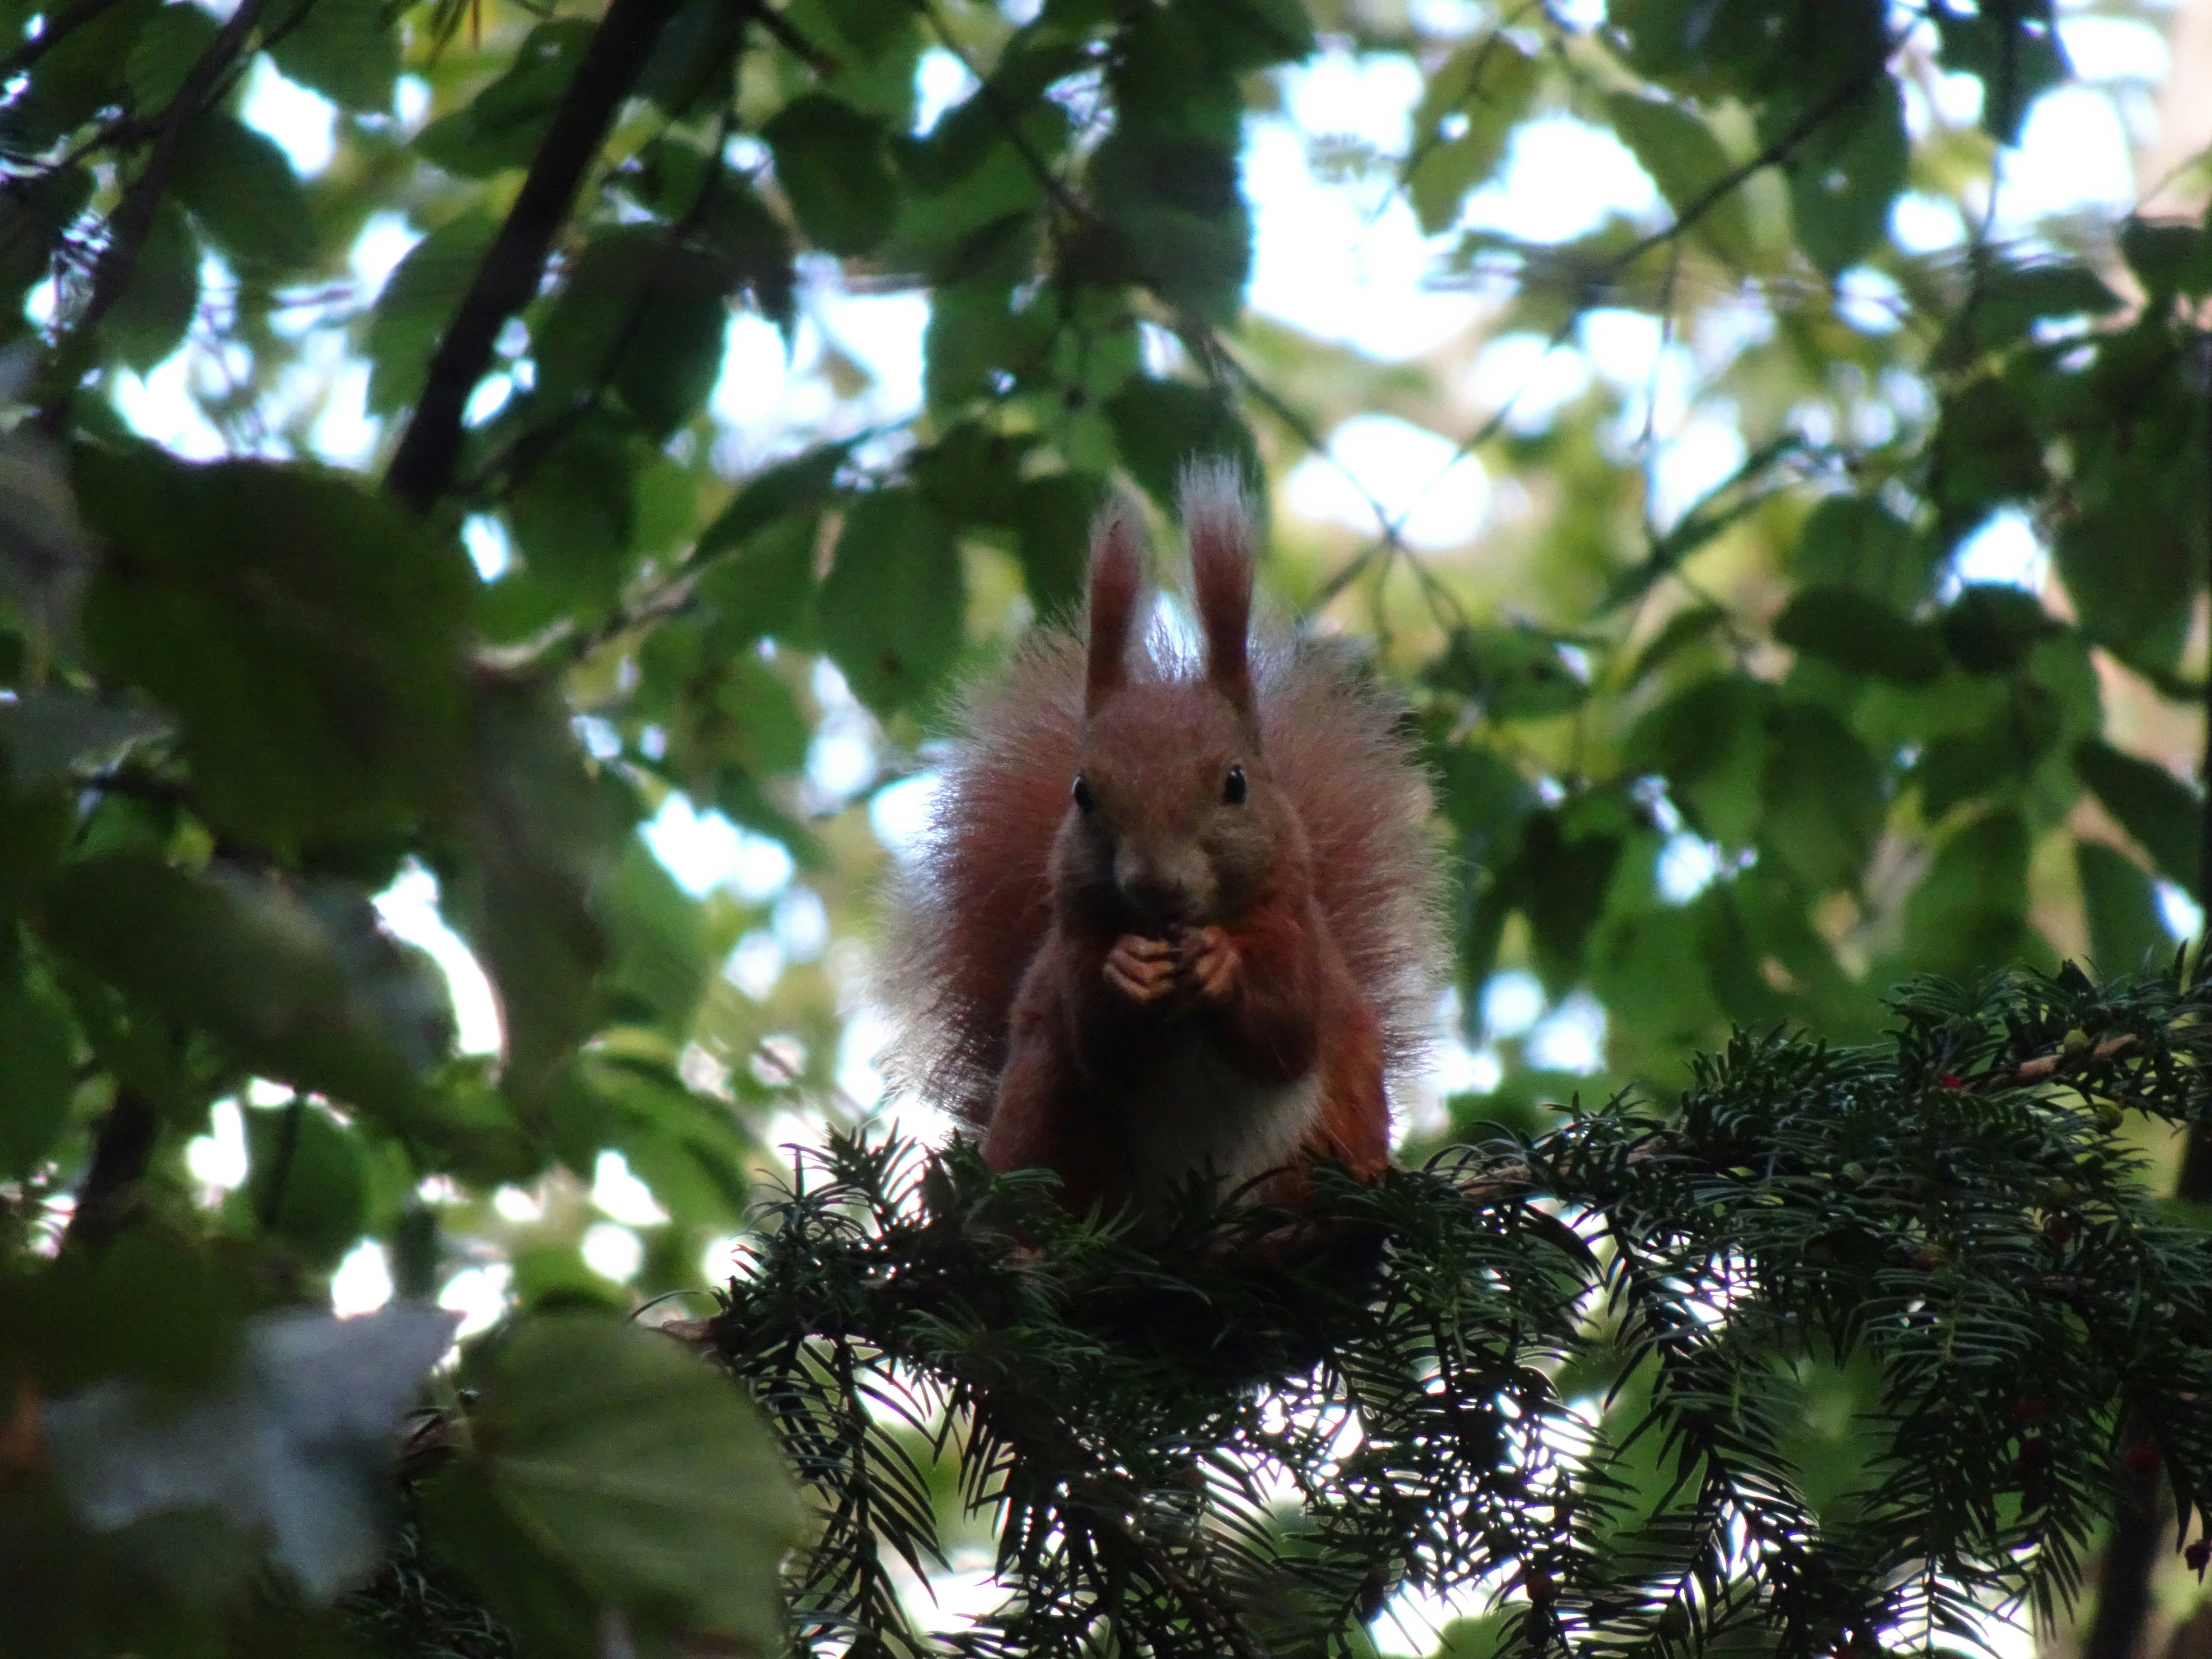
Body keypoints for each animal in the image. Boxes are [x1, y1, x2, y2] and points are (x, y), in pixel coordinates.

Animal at [882, 462, 1444, 1218]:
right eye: (1083, 793)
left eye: (1236, 783)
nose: (1154, 883)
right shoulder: (1073, 947)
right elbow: (1103, 1045)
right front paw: (1130, 972)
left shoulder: (1300, 938)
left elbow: (1287, 1029)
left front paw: (1220, 964)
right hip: (1049, 1120)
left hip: (1332, 1123)